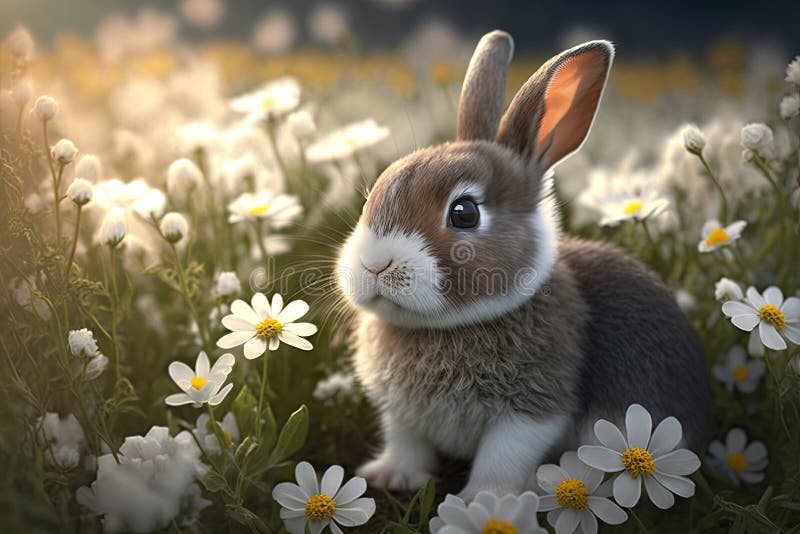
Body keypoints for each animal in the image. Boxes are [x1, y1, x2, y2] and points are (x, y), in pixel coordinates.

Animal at [336, 30, 709, 500]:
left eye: (464, 213)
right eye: (372, 196)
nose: (375, 264)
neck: (446, 327)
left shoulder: (532, 409)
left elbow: (504, 456)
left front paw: (482, 500)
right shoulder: (401, 416)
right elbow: (407, 444)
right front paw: (392, 476)